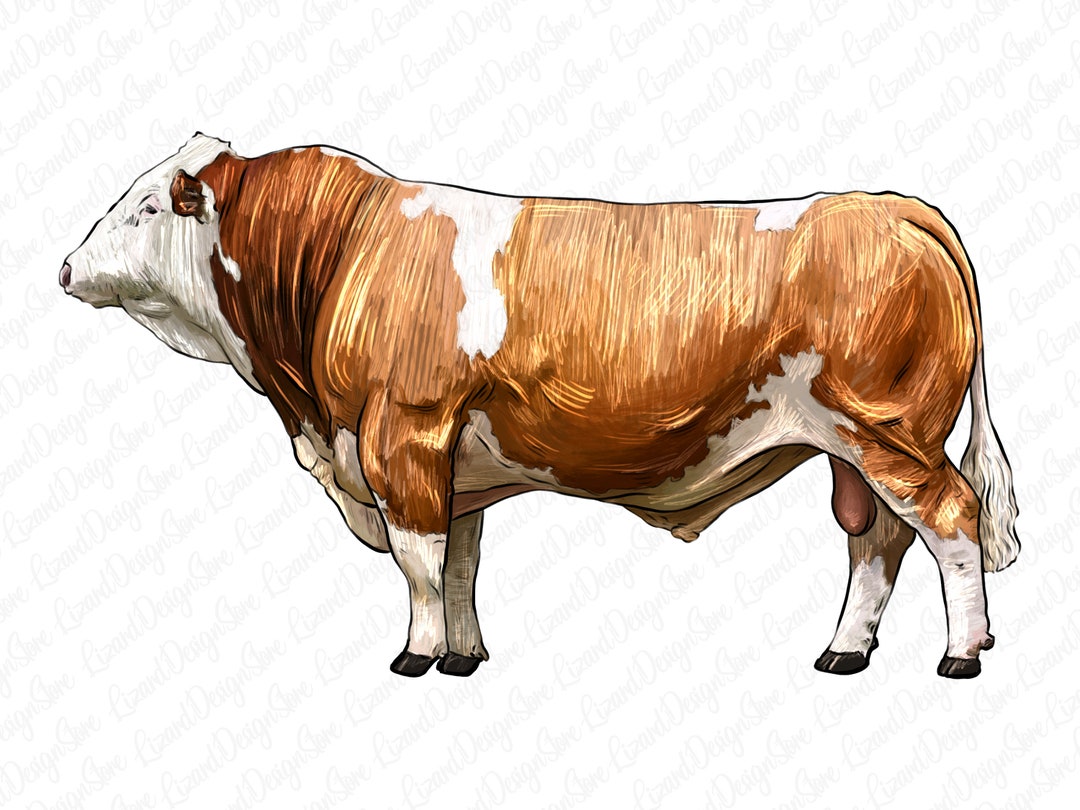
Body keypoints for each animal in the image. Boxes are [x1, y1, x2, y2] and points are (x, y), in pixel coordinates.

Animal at [60, 133, 1020, 679]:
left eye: (144, 208)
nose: (66, 267)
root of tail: (889, 204)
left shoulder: (402, 433)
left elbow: (417, 562)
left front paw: (415, 657)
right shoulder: (451, 462)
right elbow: (458, 564)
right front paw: (462, 657)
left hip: (886, 430)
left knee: (950, 519)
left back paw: (961, 655)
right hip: (859, 446)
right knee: (879, 541)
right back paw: (845, 653)